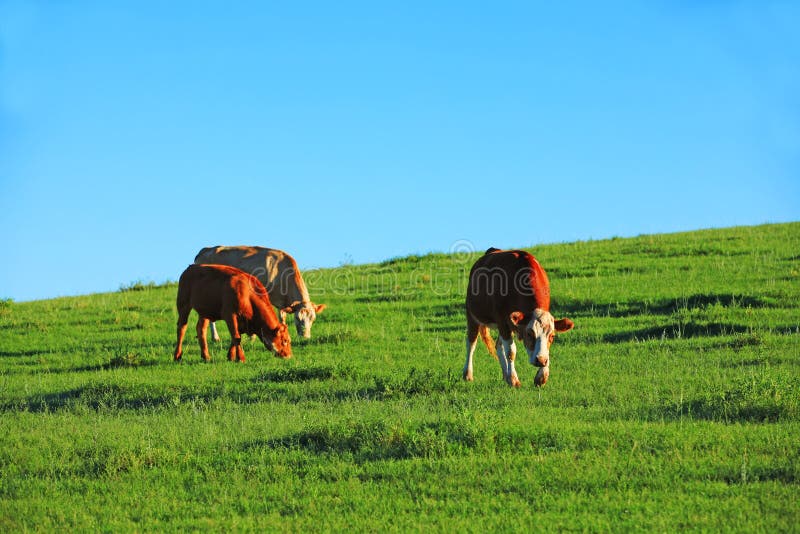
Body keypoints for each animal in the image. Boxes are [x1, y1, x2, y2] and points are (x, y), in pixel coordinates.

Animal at [194, 246, 326, 340]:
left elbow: (282, 317)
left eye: (313, 318)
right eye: (297, 318)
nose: (305, 336)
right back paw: (215, 337)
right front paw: (253, 337)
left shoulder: (282, 302)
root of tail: (204, 250)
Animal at [464, 248, 574, 387]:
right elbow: (511, 351)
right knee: (471, 343)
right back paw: (468, 374)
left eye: (552, 336)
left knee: (498, 346)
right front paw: (514, 379)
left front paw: (542, 375)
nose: (540, 360)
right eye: (529, 334)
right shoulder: (502, 320)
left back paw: (505, 375)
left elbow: (546, 351)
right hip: (472, 314)